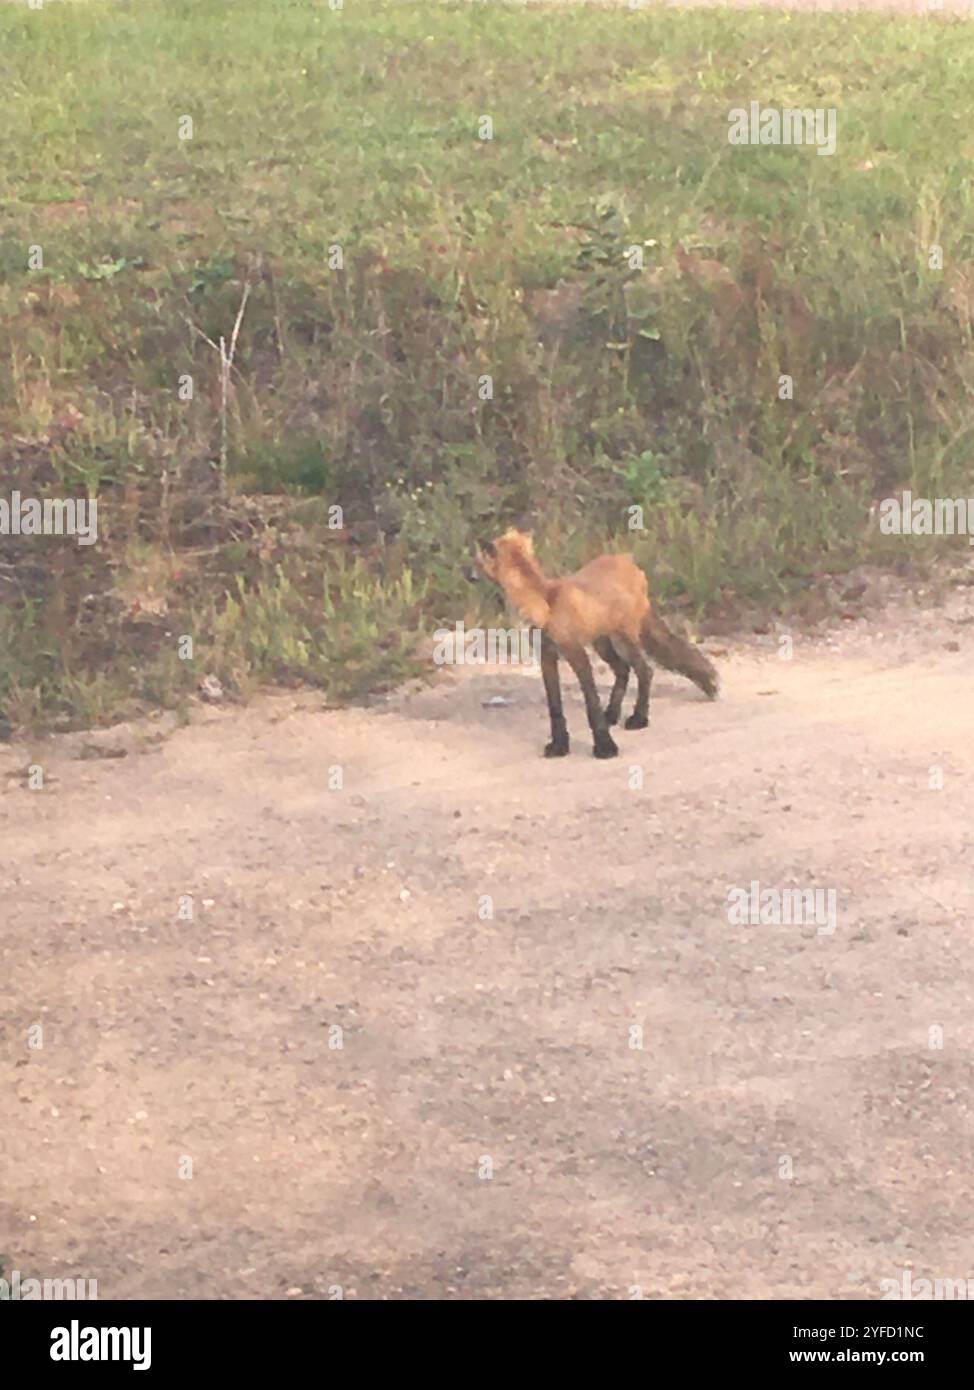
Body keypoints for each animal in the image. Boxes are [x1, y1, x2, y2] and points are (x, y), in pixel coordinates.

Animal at [477, 528, 718, 759]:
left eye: (477, 561)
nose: (468, 574)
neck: (546, 603)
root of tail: (630, 564)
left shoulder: (577, 655)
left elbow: (592, 704)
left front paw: (604, 746)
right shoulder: (547, 658)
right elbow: (555, 708)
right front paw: (559, 745)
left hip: (624, 641)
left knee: (645, 671)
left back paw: (639, 718)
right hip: (602, 645)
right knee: (623, 670)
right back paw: (612, 713)